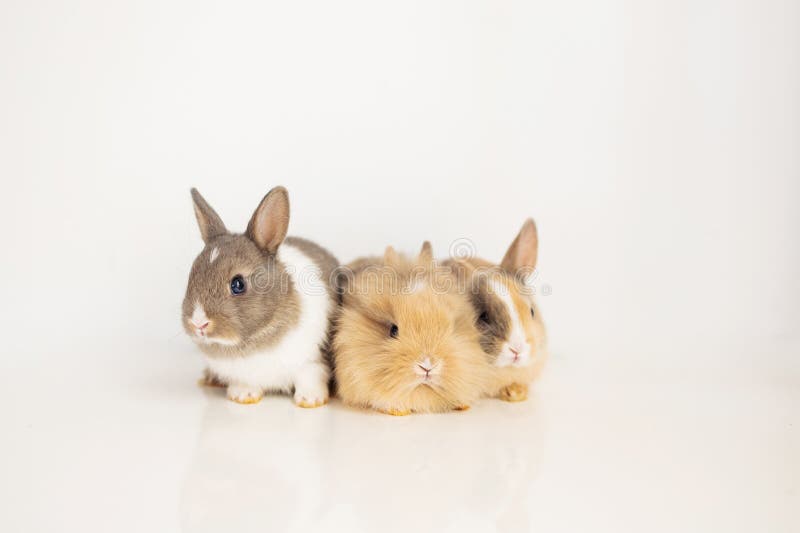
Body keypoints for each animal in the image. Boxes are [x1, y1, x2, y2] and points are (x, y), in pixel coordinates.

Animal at [182, 186, 339, 408]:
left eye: (238, 284)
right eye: (191, 276)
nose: (198, 323)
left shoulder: (312, 361)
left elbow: (310, 377)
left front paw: (311, 400)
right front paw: (243, 396)